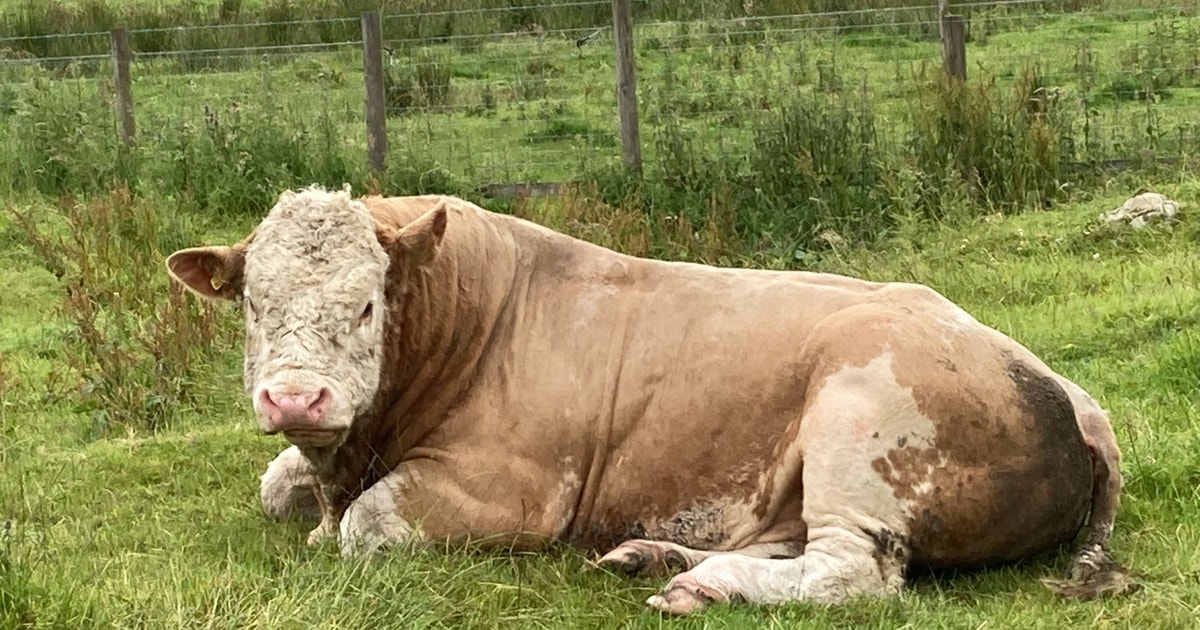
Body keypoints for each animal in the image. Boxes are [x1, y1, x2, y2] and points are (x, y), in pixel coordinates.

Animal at [165, 185, 1129, 614]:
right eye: (252, 304)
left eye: (367, 304)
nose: (295, 398)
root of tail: (1069, 391)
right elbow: (275, 487)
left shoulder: (514, 491)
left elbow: (364, 528)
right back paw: (653, 557)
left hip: (860, 413)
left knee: (853, 573)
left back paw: (700, 583)